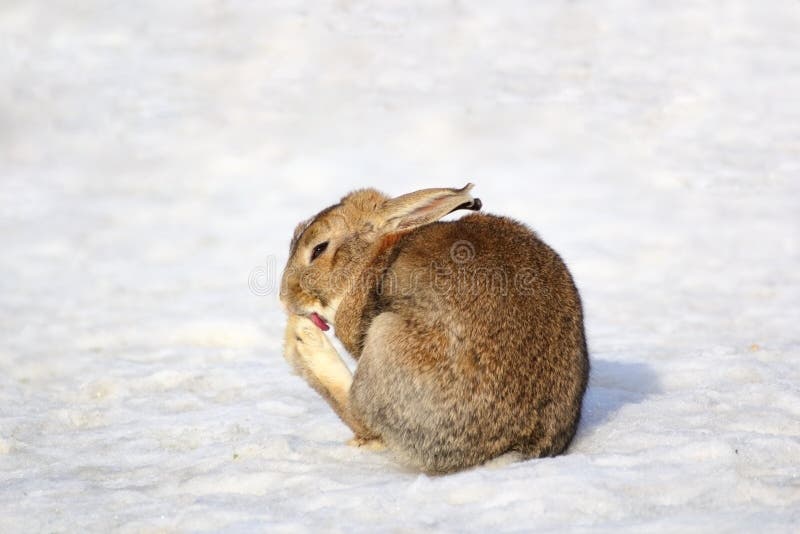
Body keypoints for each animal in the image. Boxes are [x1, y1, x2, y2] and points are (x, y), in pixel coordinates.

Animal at [280, 184, 589, 474]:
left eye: (319, 249)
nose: (285, 298)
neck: (371, 260)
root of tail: (510, 448)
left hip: (385, 341)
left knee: (365, 421)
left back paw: (302, 342)